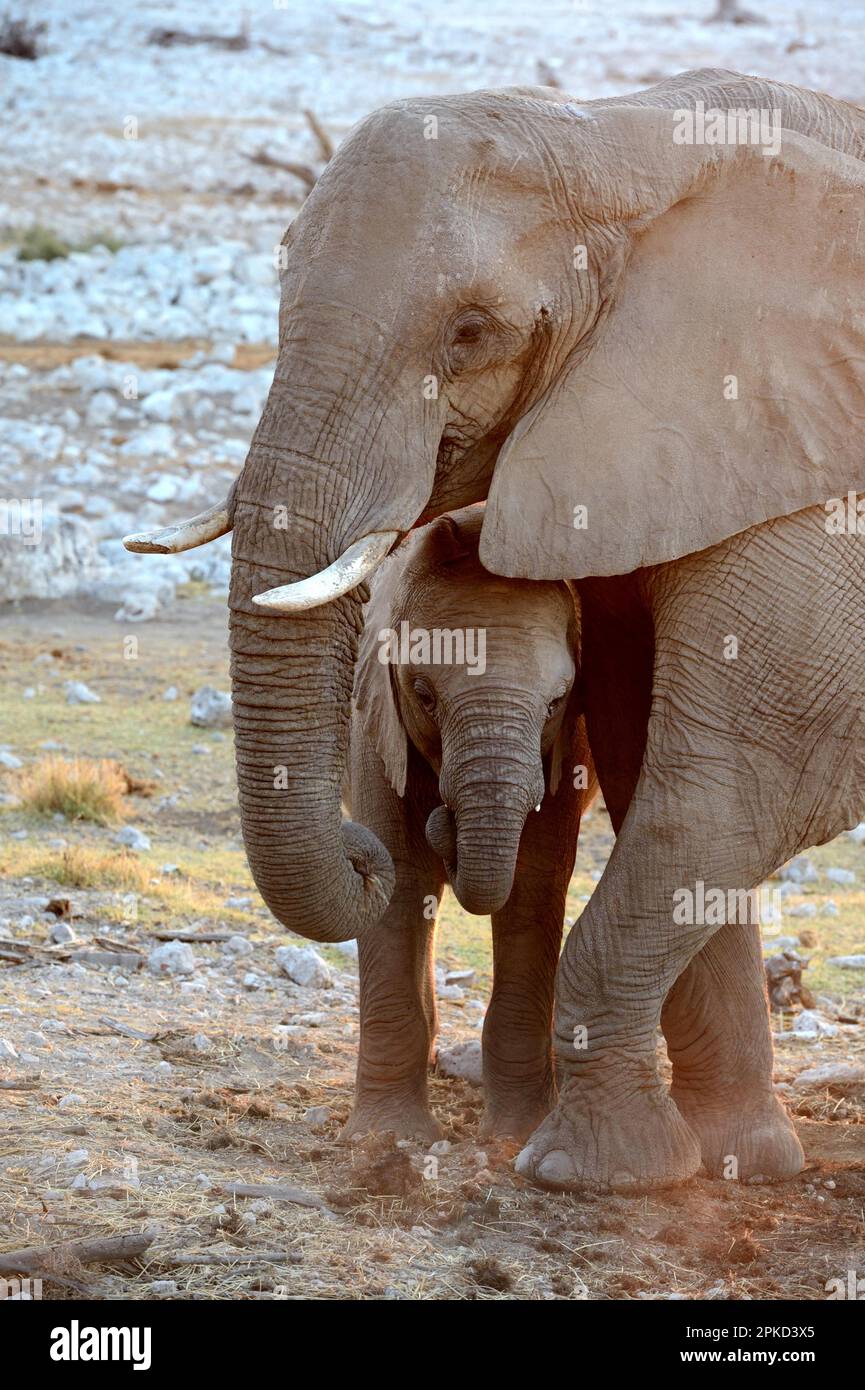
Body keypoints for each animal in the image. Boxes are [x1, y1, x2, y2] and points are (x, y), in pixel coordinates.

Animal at [345, 504, 594, 1141]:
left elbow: (533, 881)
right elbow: (399, 875)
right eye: (424, 693)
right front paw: (388, 1140)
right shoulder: (377, 719)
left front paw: (515, 1136)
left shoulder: (567, 747)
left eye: (556, 702)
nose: (445, 820)